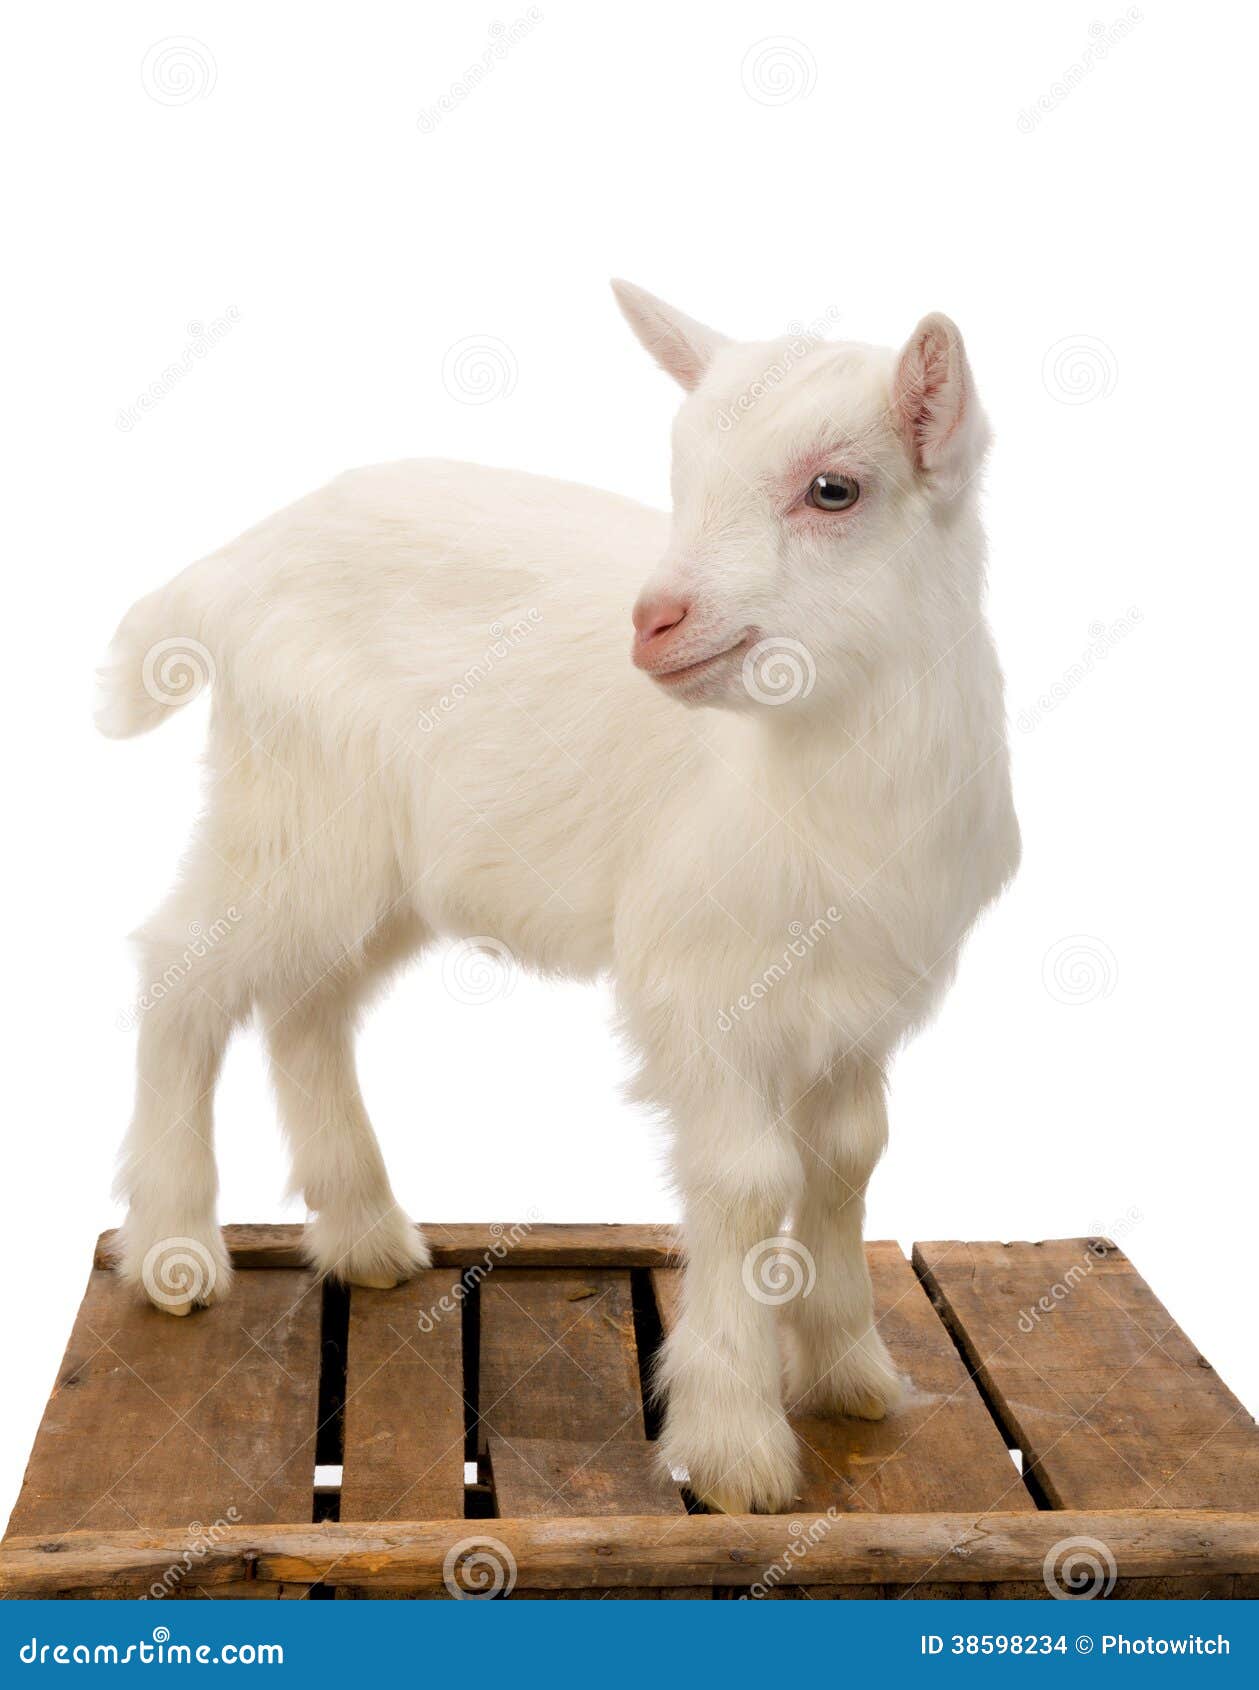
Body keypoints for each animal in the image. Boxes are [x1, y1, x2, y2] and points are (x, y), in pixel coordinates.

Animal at [96, 282, 1020, 1512]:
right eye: (681, 472)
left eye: (835, 489)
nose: (654, 620)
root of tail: (234, 561)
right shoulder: (700, 980)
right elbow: (747, 1182)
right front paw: (734, 1444)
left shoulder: (861, 991)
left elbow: (847, 1161)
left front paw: (847, 1373)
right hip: (295, 814)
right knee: (184, 968)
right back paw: (173, 1253)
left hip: (382, 865)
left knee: (307, 1007)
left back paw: (366, 1236)